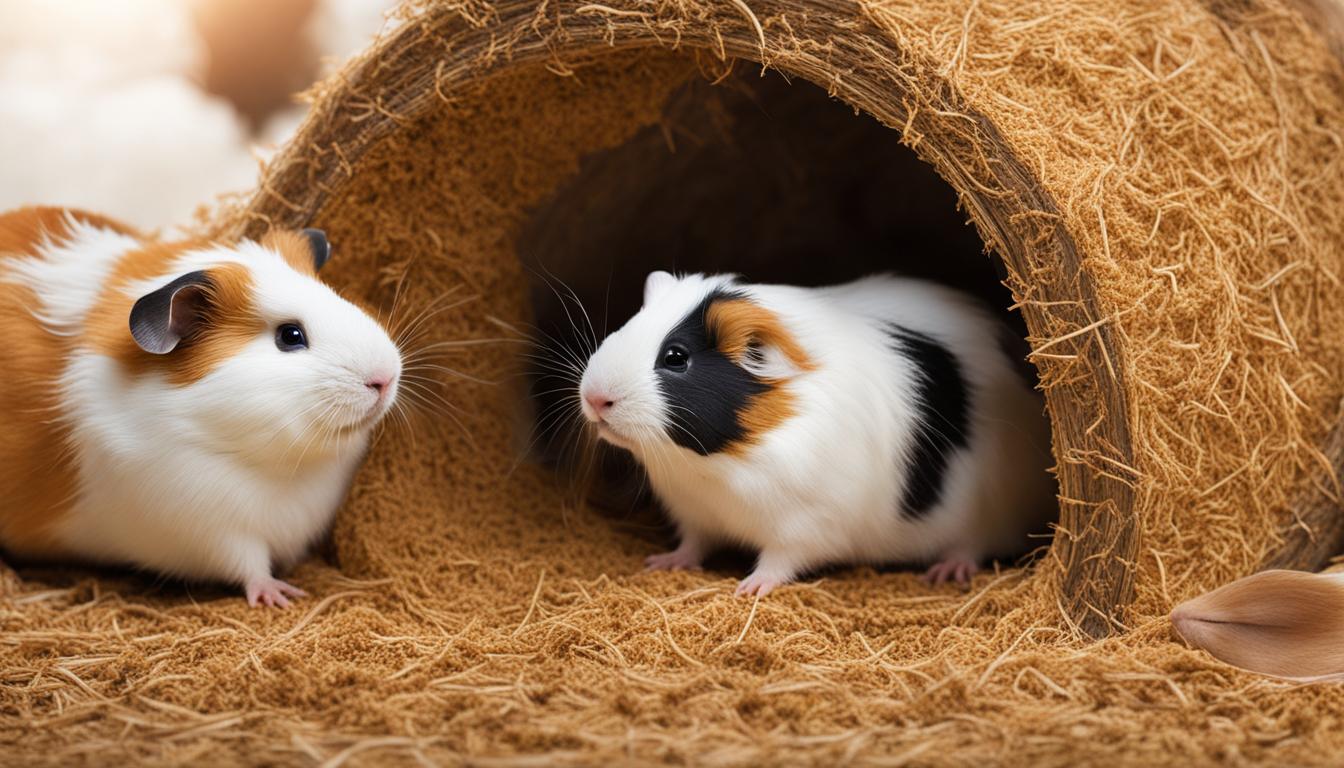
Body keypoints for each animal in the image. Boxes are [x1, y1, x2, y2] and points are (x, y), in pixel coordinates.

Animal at [0, 207, 401, 607]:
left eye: (336, 296)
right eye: (290, 336)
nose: (385, 378)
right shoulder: (211, 528)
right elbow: (249, 565)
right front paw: (280, 596)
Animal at [578, 271, 1054, 595]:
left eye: (676, 357)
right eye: (624, 326)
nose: (594, 397)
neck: (717, 466)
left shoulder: (804, 526)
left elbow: (779, 562)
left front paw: (750, 589)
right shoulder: (695, 514)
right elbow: (693, 544)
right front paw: (663, 563)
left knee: (971, 547)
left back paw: (946, 573)